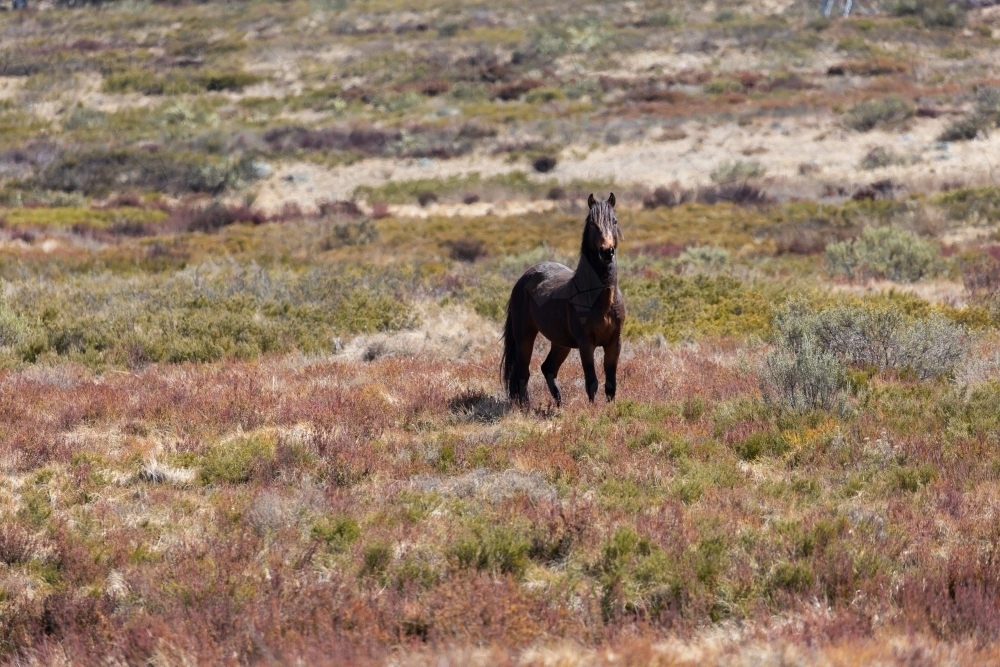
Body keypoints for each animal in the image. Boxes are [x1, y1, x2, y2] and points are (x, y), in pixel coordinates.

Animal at [501, 193, 625, 406]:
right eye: (592, 223)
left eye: (614, 220)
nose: (607, 252)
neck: (602, 301)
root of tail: (525, 277)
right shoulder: (586, 344)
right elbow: (592, 382)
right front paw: (592, 410)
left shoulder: (613, 343)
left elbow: (611, 384)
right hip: (525, 336)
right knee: (522, 373)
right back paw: (526, 407)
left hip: (560, 342)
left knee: (548, 368)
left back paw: (559, 404)